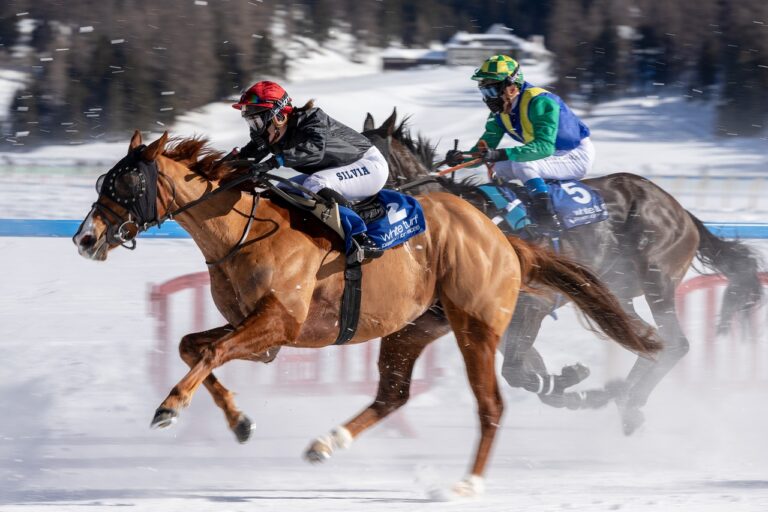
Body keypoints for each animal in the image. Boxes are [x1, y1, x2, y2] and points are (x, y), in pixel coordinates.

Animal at [72, 130, 659, 495]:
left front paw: (170, 407)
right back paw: (326, 443)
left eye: (125, 183)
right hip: (413, 327)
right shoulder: (263, 337)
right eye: (105, 181)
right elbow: (193, 346)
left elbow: (211, 350)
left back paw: (468, 482)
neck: (242, 227)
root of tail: (503, 240)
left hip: (476, 326)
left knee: (491, 404)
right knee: (392, 395)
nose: (85, 238)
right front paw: (239, 422)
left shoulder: (278, 323)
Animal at [362, 110, 763, 435]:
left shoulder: (533, 307)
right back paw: (624, 400)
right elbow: (527, 375)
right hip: (616, 292)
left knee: (675, 343)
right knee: (648, 339)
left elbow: (518, 372)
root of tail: (681, 211)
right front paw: (580, 388)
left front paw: (578, 382)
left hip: (657, 277)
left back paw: (630, 401)